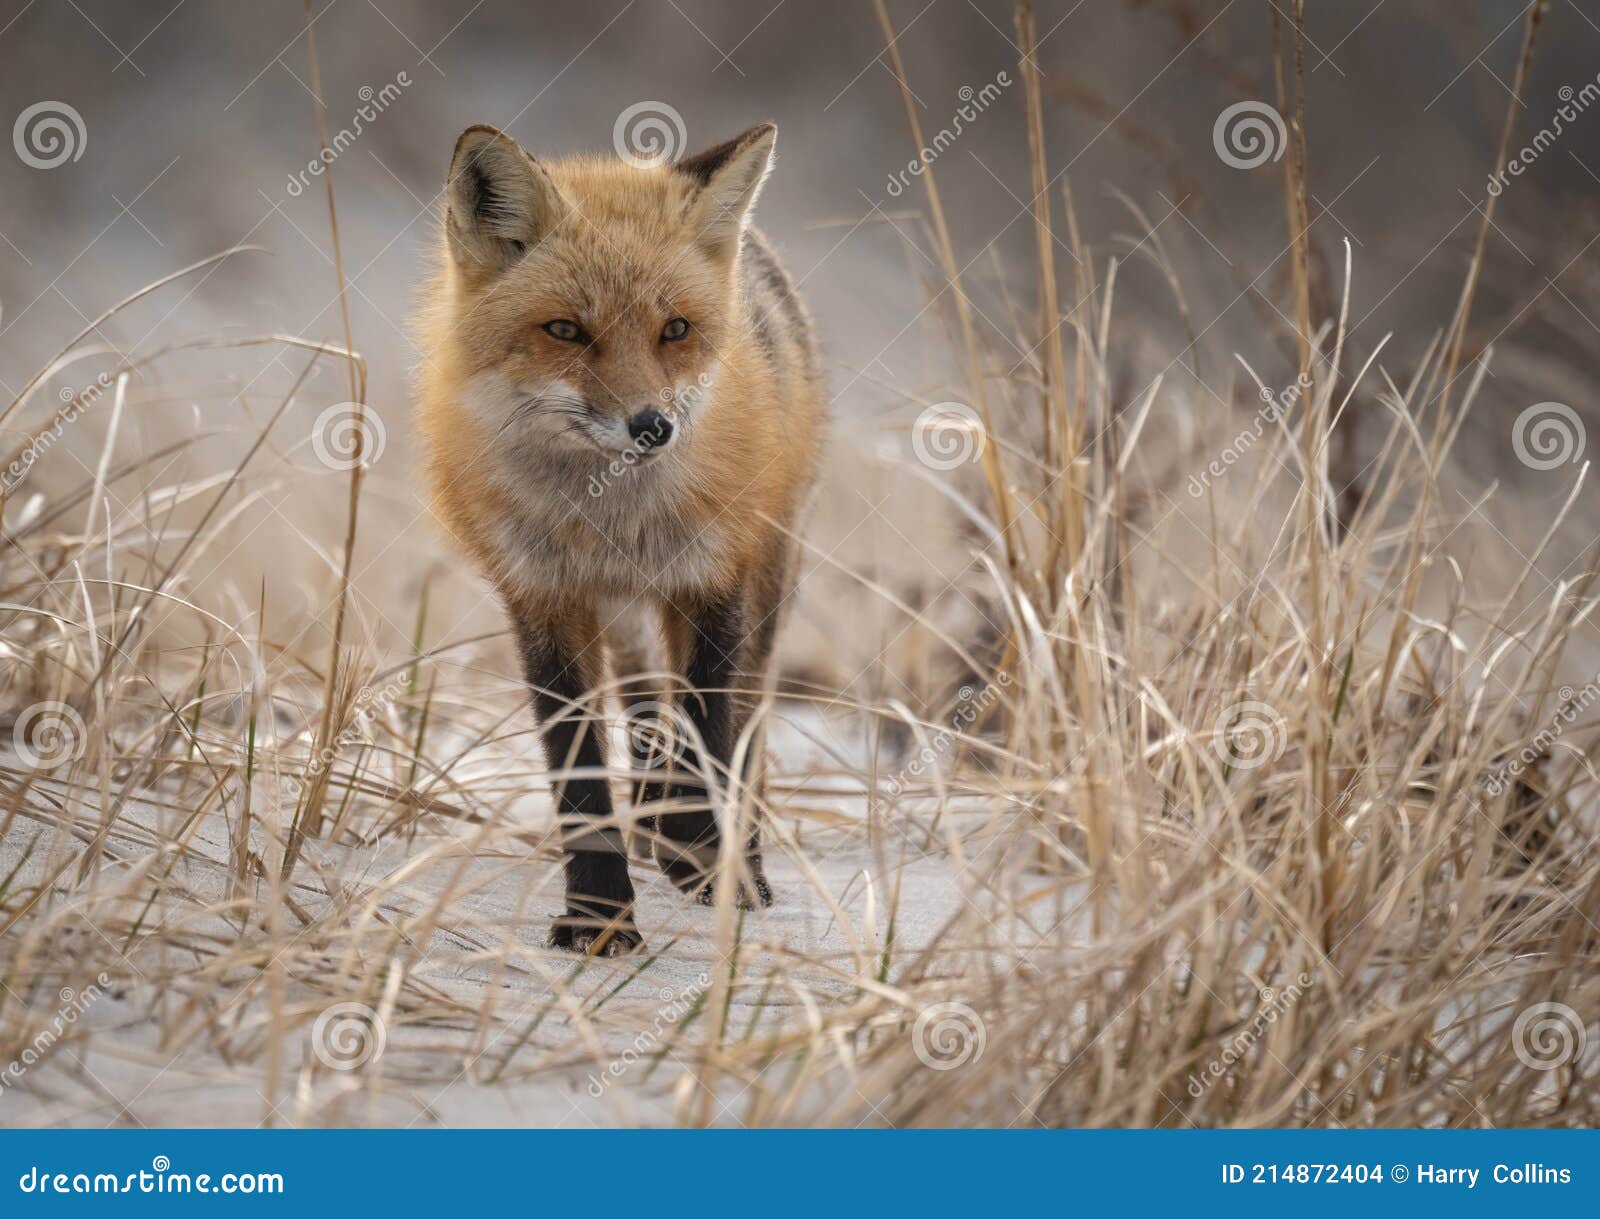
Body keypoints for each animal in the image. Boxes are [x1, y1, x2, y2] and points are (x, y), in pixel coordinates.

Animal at [416, 121, 825, 955]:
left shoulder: (711, 579)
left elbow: (707, 730)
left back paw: (733, 852)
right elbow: (579, 766)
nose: (652, 426)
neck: (611, 521)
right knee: (643, 713)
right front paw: (599, 913)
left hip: (765, 579)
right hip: (628, 615)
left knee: (744, 727)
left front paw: (705, 857)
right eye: (567, 330)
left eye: (675, 330)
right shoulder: (543, 596)